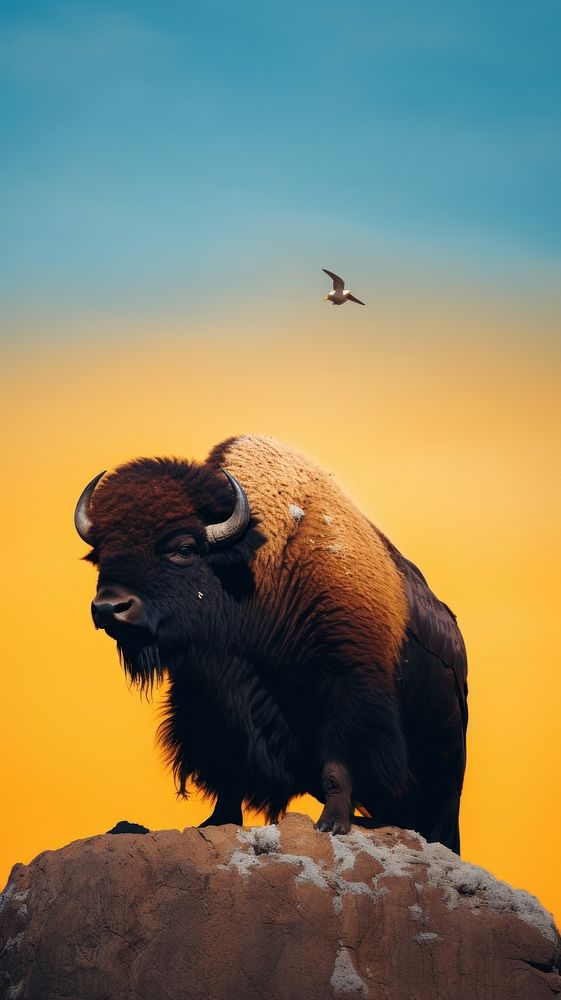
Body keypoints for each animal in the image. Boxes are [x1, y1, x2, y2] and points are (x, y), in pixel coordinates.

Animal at [74, 435, 468, 851]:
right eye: (100, 553)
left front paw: (332, 824)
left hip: (444, 792)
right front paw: (216, 821)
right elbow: (226, 772)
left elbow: (337, 767)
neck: (257, 570)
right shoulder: (207, 699)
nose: (109, 607)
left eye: (184, 548)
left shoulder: (349, 690)